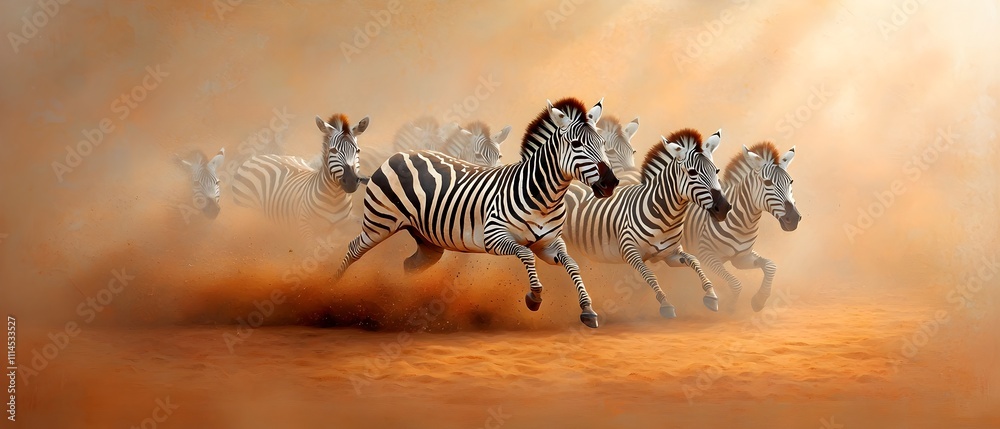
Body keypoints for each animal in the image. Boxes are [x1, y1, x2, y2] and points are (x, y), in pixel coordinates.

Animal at [232, 114, 370, 237]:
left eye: (358, 150)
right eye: (333, 151)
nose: (352, 181)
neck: (335, 199)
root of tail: (257, 156)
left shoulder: (349, 222)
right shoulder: (305, 227)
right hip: (246, 208)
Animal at [334, 98, 620, 328]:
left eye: (602, 143)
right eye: (576, 144)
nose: (611, 183)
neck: (543, 196)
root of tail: (398, 155)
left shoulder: (549, 243)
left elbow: (572, 264)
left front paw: (588, 310)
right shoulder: (495, 237)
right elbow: (526, 254)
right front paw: (534, 296)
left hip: (428, 241)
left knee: (409, 265)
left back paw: (405, 299)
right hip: (379, 223)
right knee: (353, 248)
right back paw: (334, 285)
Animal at [563, 128, 732, 318]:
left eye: (716, 170)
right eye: (692, 172)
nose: (724, 207)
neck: (665, 216)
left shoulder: (671, 254)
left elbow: (694, 261)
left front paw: (711, 295)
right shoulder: (629, 251)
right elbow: (650, 274)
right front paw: (666, 304)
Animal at [682, 142, 800, 312]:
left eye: (791, 182)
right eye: (768, 183)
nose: (795, 219)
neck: (744, 224)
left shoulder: (742, 257)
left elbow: (771, 265)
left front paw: (759, 300)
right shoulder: (705, 254)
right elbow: (736, 283)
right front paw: (730, 305)